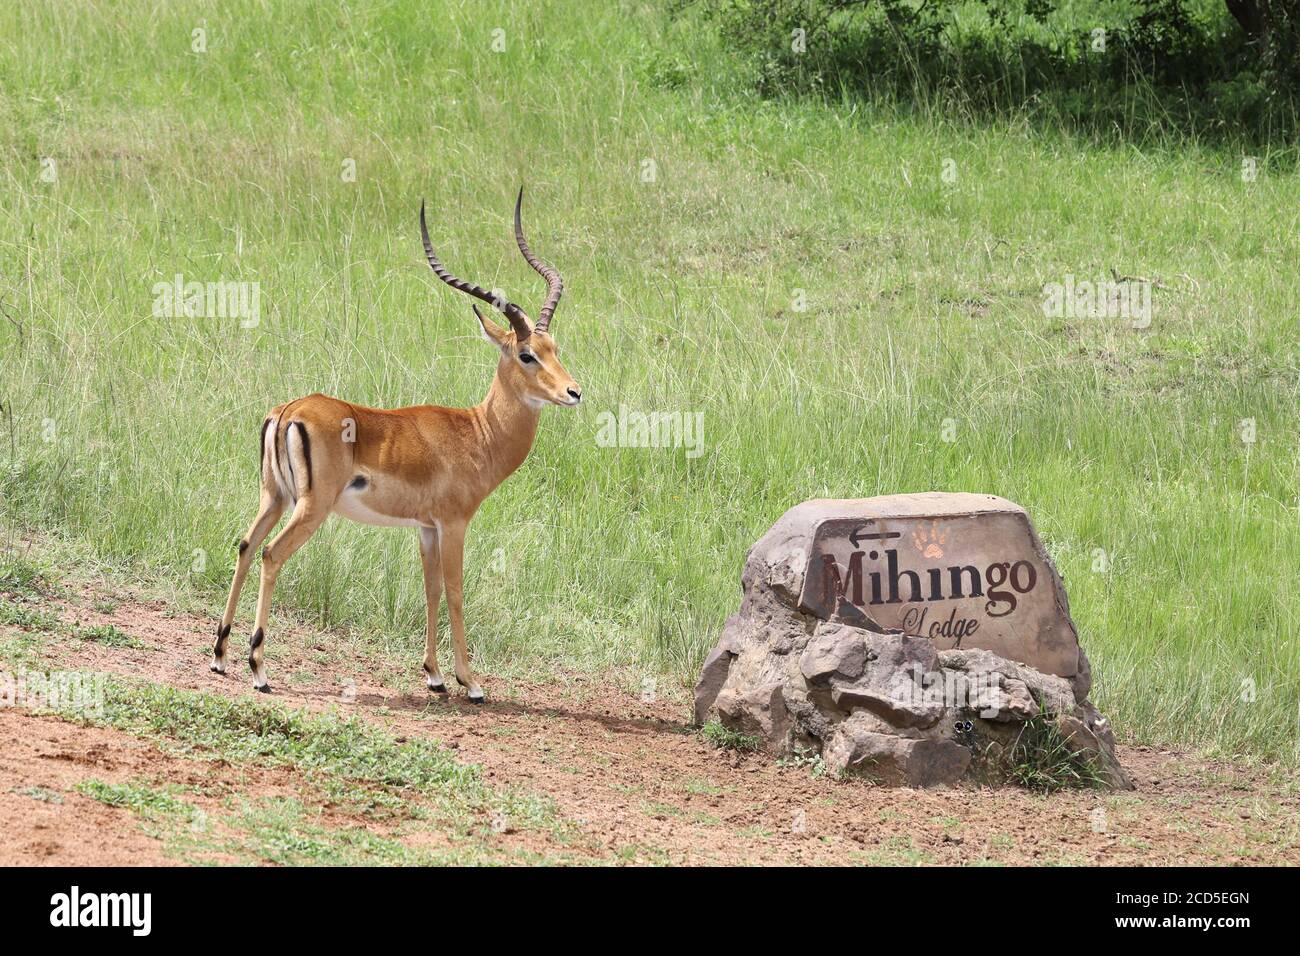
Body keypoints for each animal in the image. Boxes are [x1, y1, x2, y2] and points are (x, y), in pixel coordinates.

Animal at [212, 189, 580, 702]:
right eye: (527, 355)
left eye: (554, 349)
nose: (573, 392)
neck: (476, 433)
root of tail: (289, 411)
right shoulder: (454, 523)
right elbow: (455, 590)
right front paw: (470, 682)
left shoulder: (424, 527)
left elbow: (430, 589)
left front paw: (434, 675)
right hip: (311, 507)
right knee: (271, 554)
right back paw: (259, 670)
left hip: (274, 497)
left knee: (246, 546)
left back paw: (220, 657)